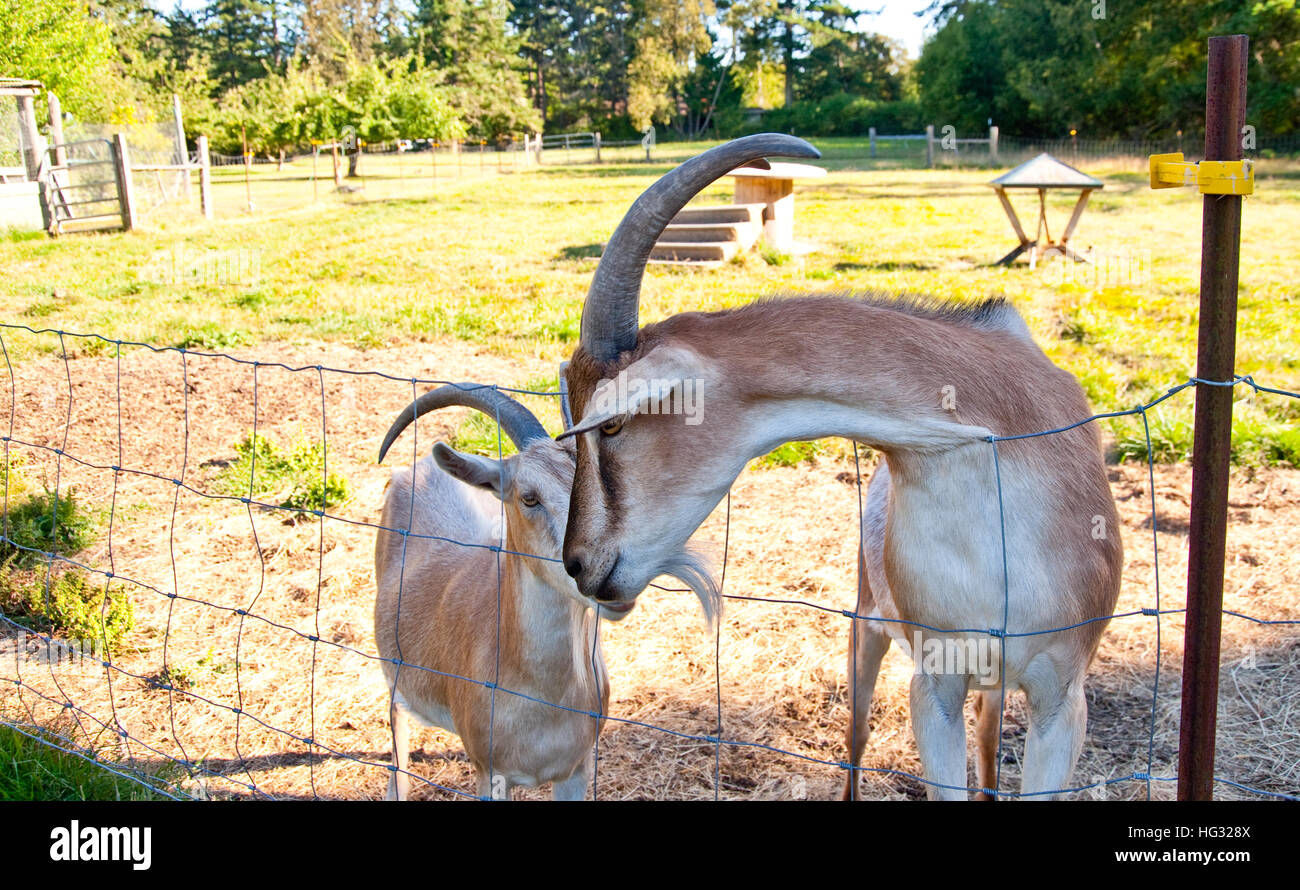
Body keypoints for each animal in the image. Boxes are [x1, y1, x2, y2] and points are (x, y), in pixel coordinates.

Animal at [556, 134, 1123, 800]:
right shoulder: (935, 685)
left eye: (612, 425)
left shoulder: (1062, 696)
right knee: (858, 735)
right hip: (867, 630)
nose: (579, 564)